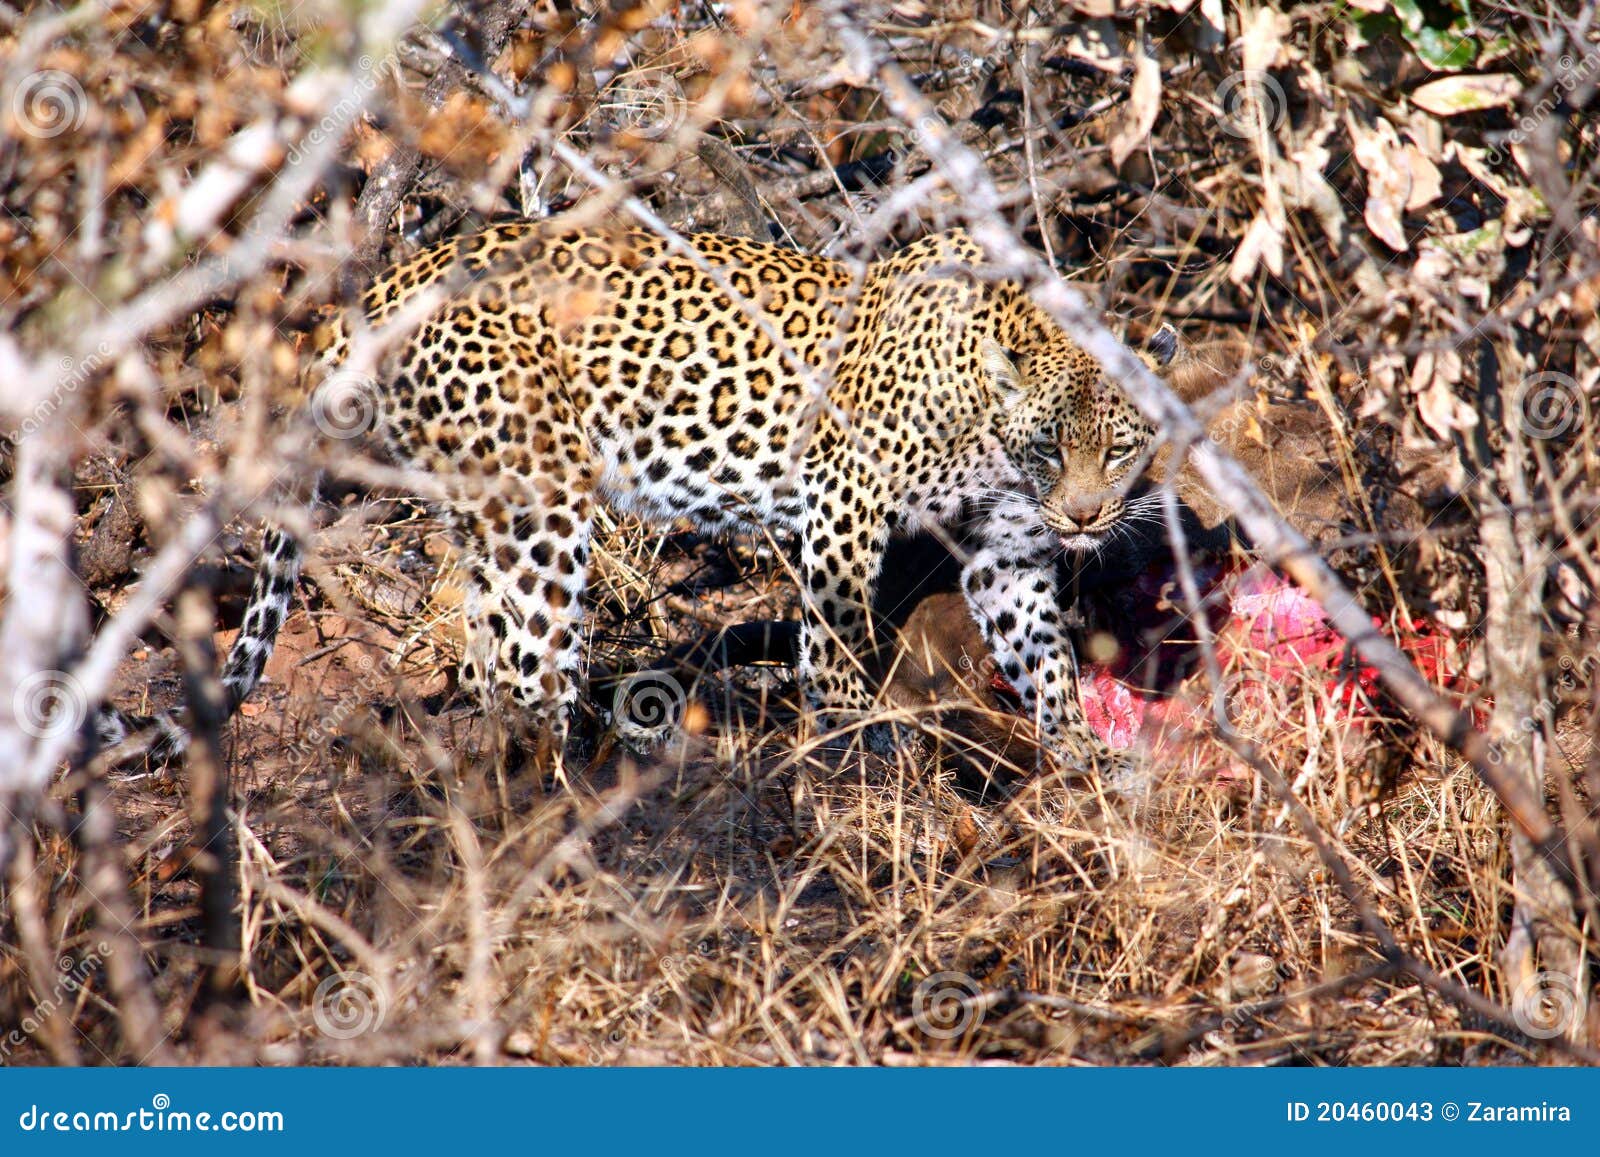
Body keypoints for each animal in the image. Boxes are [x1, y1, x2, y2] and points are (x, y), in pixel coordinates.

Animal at [97, 222, 1176, 775]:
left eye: (1118, 447)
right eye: (1051, 444)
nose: (1084, 517)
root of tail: (385, 284)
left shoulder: (1006, 546)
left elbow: (1043, 657)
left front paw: (1082, 769)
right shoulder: (841, 505)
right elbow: (832, 649)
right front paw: (849, 762)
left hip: (481, 507)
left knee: (492, 662)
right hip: (542, 505)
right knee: (532, 672)